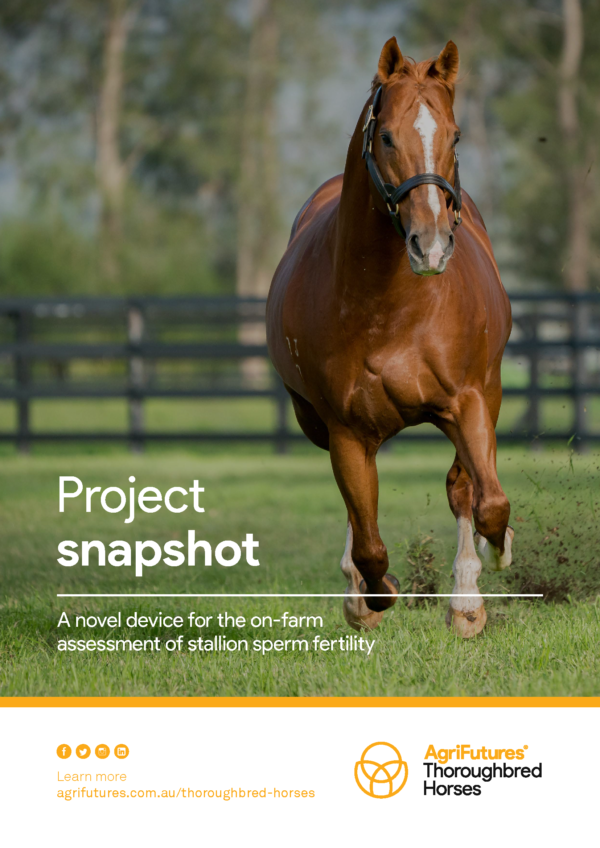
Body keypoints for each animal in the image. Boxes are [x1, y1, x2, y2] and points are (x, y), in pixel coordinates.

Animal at [266, 37, 513, 638]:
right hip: (321, 425)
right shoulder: (346, 431)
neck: (394, 310)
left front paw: (492, 561)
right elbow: (370, 541)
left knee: (463, 488)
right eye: (386, 137)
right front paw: (372, 595)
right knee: (361, 512)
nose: (432, 245)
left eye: (455, 135)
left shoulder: (469, 402)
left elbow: (488, 502)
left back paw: (466, 600)